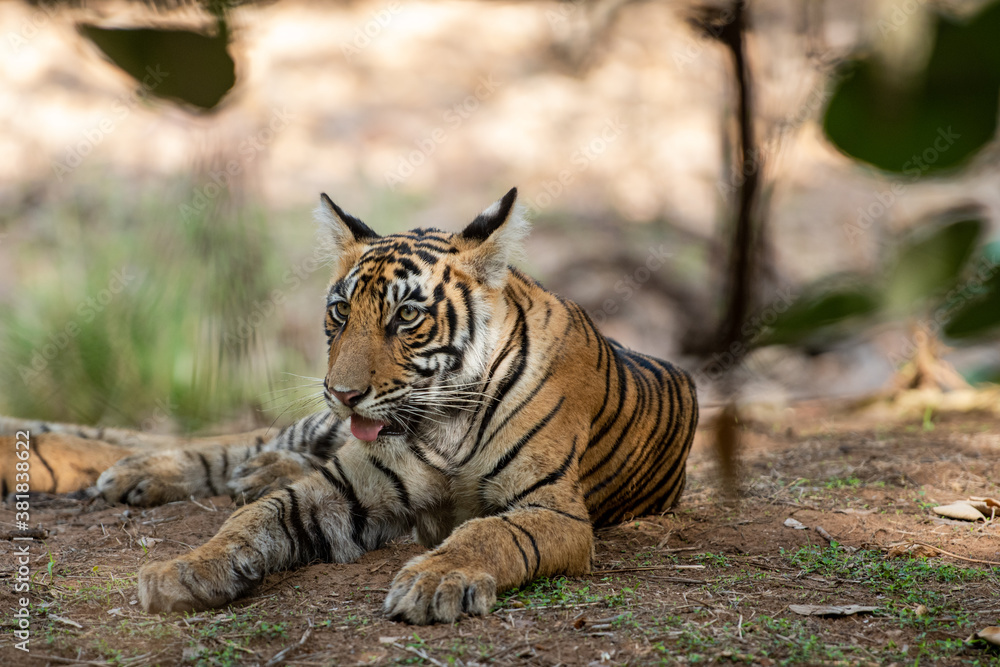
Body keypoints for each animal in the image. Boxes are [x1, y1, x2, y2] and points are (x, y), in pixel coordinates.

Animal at [0, 188, 698, 624]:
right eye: (340, 311)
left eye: (406, 316)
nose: (342, 391)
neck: (445, 421)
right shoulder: (349, 487)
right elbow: (252, 519)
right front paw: (184, 570)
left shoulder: (552, 510)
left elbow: (487, 532)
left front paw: (434, 580)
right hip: (310, 428)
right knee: (239, 444)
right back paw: (144, 473)